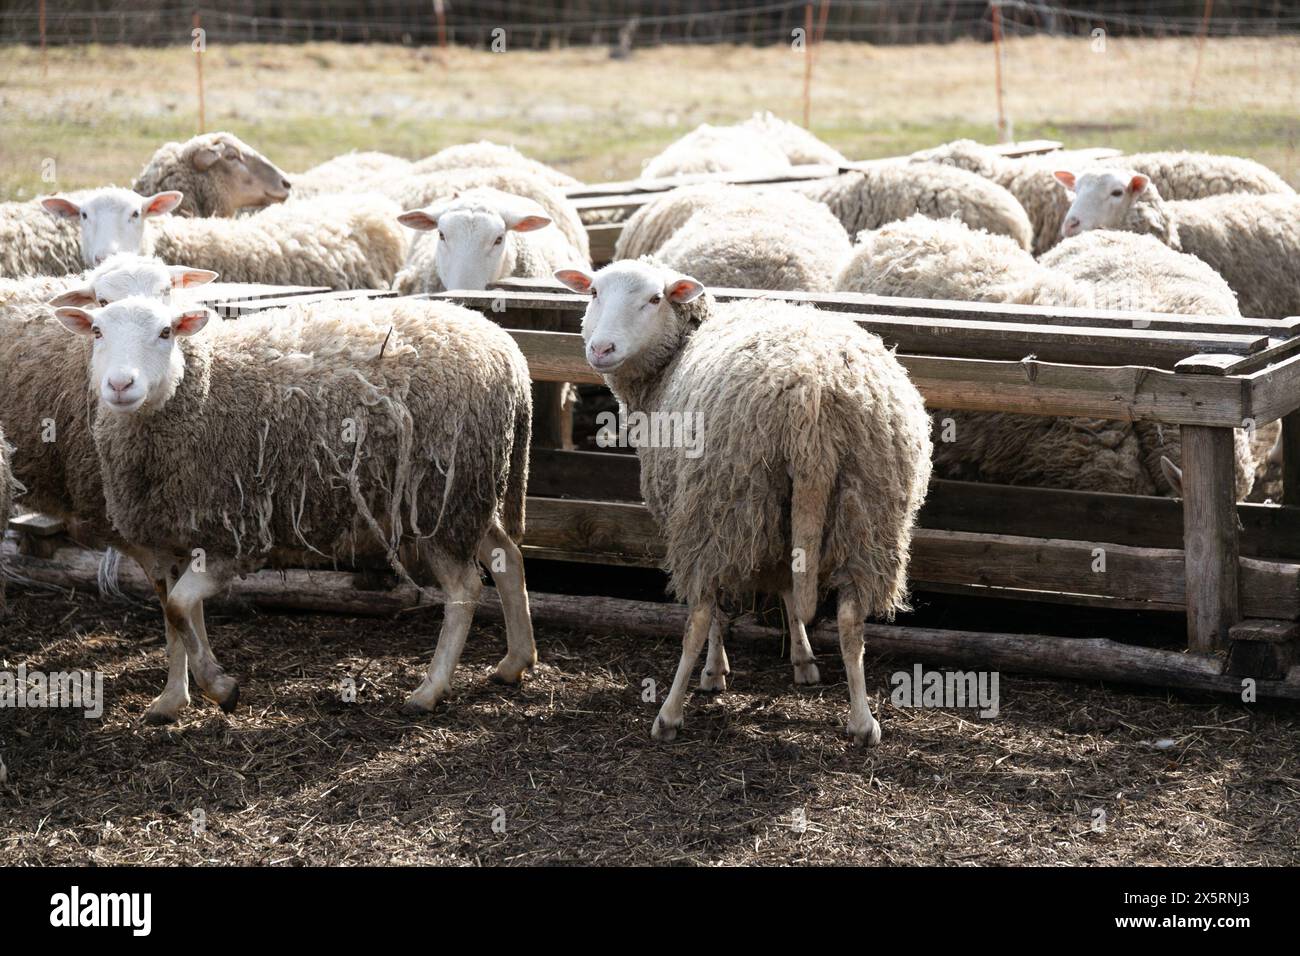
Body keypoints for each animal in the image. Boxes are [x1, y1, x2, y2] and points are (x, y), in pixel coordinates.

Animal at [57, 294, 535, 719]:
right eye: (97, 331)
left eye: (165, 332)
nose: (120, 385)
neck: (199, 391)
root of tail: (509, 351)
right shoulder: (167, 540)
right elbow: (177, 618)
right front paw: (173, 699)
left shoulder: (234, 538)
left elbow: (178, 607)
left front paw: (220, 687)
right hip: (469, 494)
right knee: (507, 556)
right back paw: (515, 662)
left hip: (442, 495)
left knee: (464, 588)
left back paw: (429, 691)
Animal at [555, 260, 932, 745]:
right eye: (594, 292)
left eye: (655, 298)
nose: (602, 348)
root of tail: (814, 394)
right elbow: (789, 586)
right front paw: (803, 661)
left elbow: (718, 609)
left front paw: (716, 672)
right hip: (867, 507)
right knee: (850, 617)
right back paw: (863, 723)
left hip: (720, 502)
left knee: (700, 609)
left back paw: (670, 713)